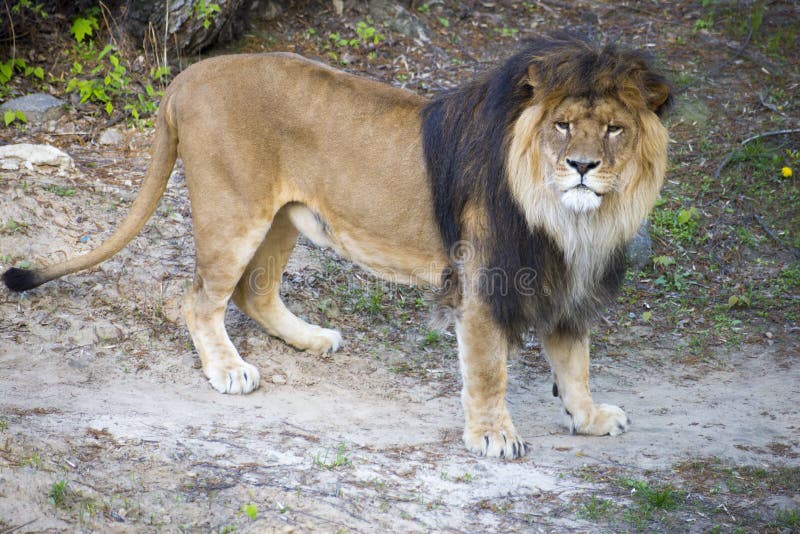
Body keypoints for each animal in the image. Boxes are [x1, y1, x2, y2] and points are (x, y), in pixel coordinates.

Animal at [2, 35, 670, 459]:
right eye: (562, 125)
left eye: (615, 129)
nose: (581, 167)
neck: (573, 220)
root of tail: (186, 78)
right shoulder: (484, 282)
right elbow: (488, 370)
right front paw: (493, 437)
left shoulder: (567, 279)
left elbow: (575, 360)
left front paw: (589, 418)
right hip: (233, 212)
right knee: (198, 301)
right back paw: (229, 370)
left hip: (283, 218)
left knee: (252, 293)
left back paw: (313, 340)